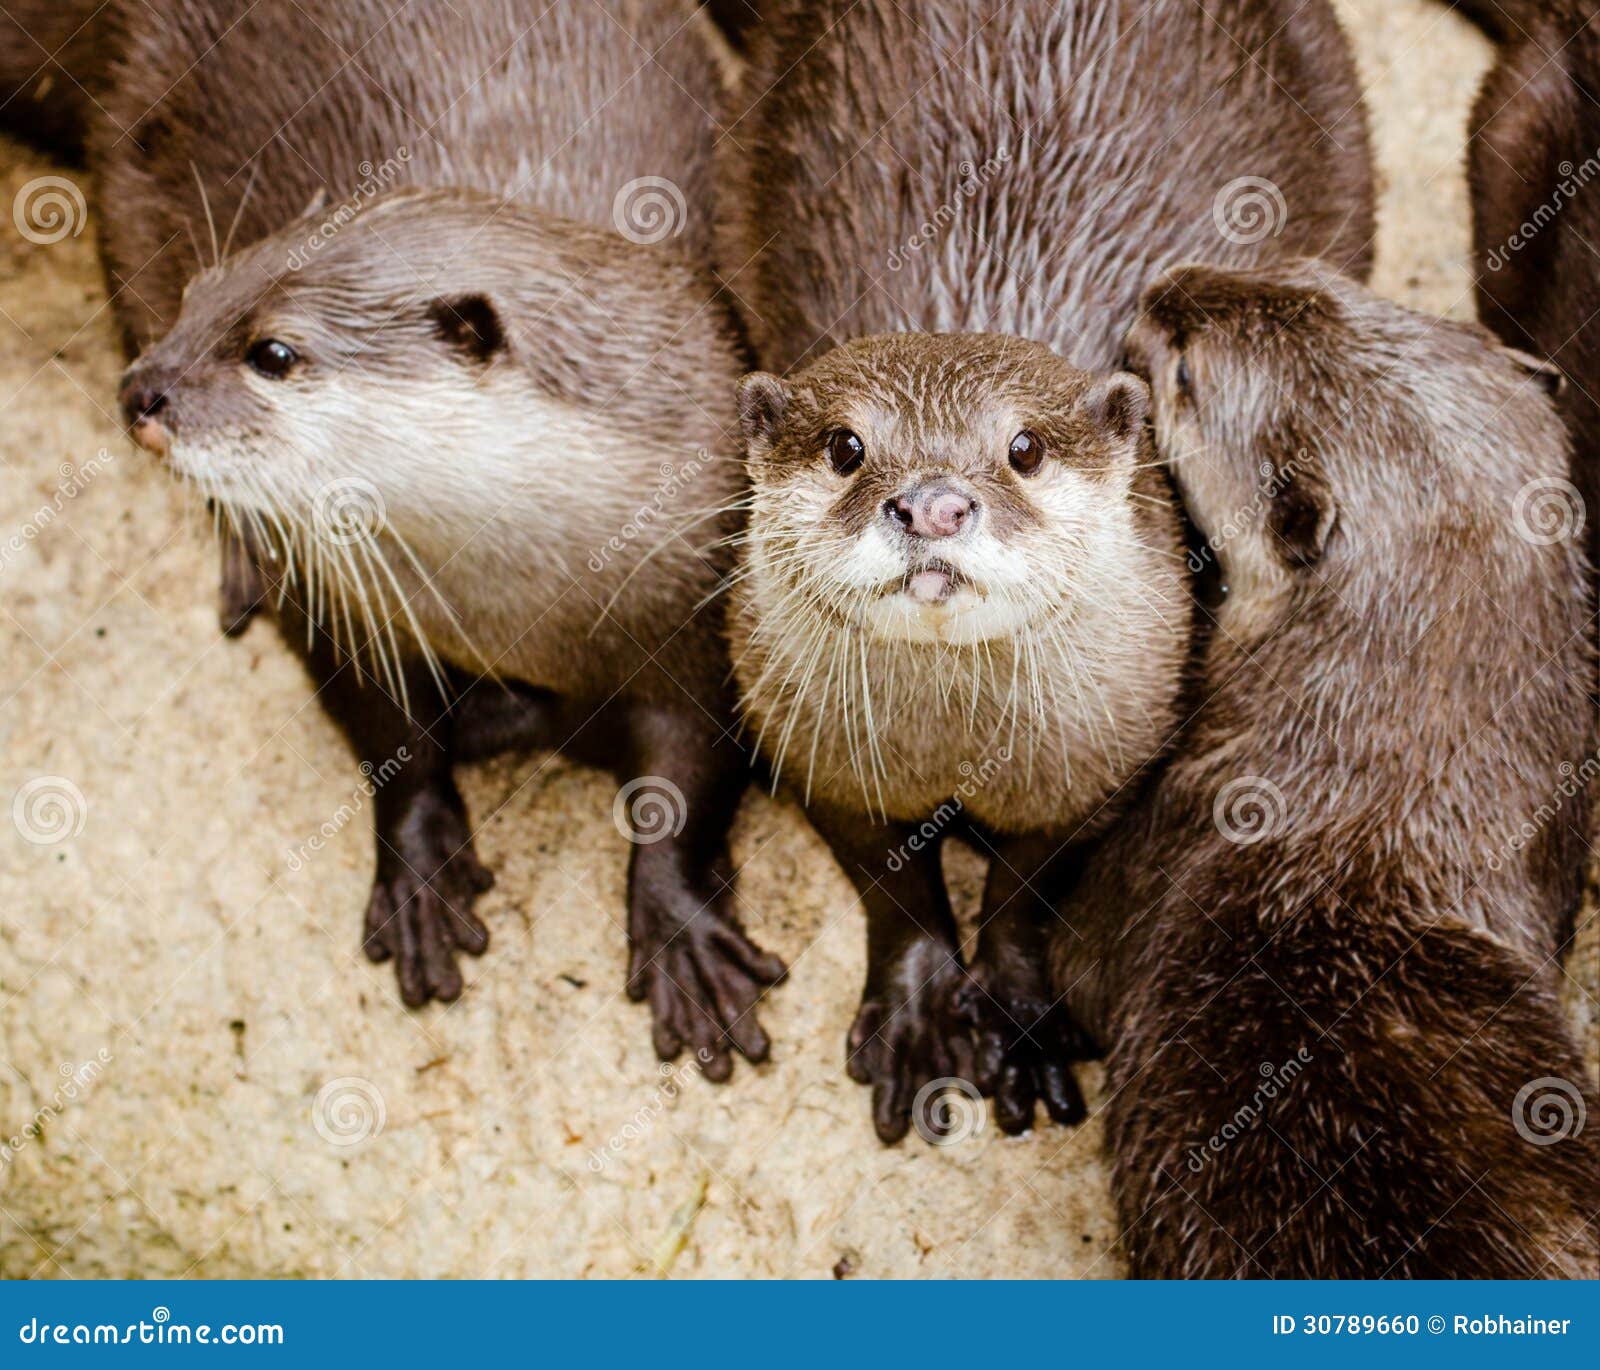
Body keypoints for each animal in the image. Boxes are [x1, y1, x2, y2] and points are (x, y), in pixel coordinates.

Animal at [104, 0, 787, 1080]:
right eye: (195, 294)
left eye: (273, 352)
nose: (140, 392)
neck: (515, 605)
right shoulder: (341, 597)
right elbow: (388, 731)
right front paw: (421, 868)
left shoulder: (703, 597)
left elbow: (685, 776)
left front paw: (681, 929)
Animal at [725, 0, 1377, 1142]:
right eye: (846, 447)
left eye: (1023, 446)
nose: (932, 503)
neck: (952, 748)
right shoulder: (812, 746)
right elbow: (889, 883)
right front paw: (917, 1008)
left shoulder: (1109, 748)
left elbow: (1027, 890)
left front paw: (1019, 1014)